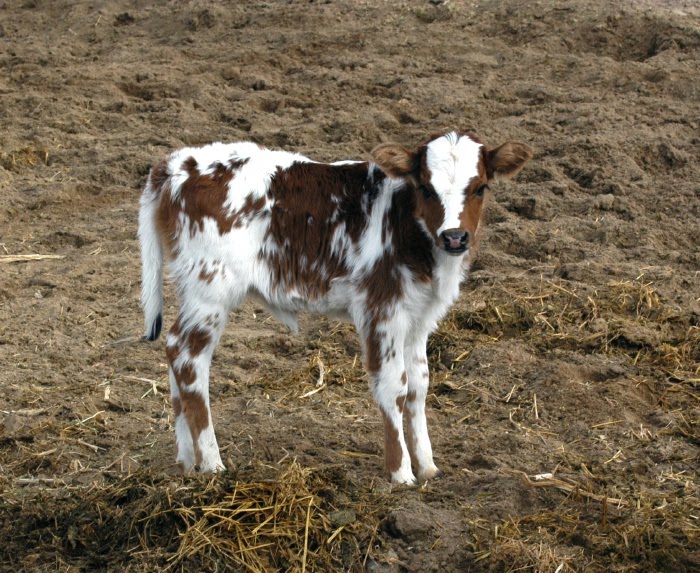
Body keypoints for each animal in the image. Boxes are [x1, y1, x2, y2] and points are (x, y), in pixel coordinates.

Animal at [138, 131, 532, 485]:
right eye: (426, 188)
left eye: (480, 187)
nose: (454, 237)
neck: (407, 225)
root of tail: (176, 164)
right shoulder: (381, 310)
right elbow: (394, 385)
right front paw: (401, 472)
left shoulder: (420, 317)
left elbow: (418, 385)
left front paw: (428, 466)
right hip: (211, 292)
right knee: (189, 360)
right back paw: (212, 462)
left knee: (174, 351)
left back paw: (187, 459)